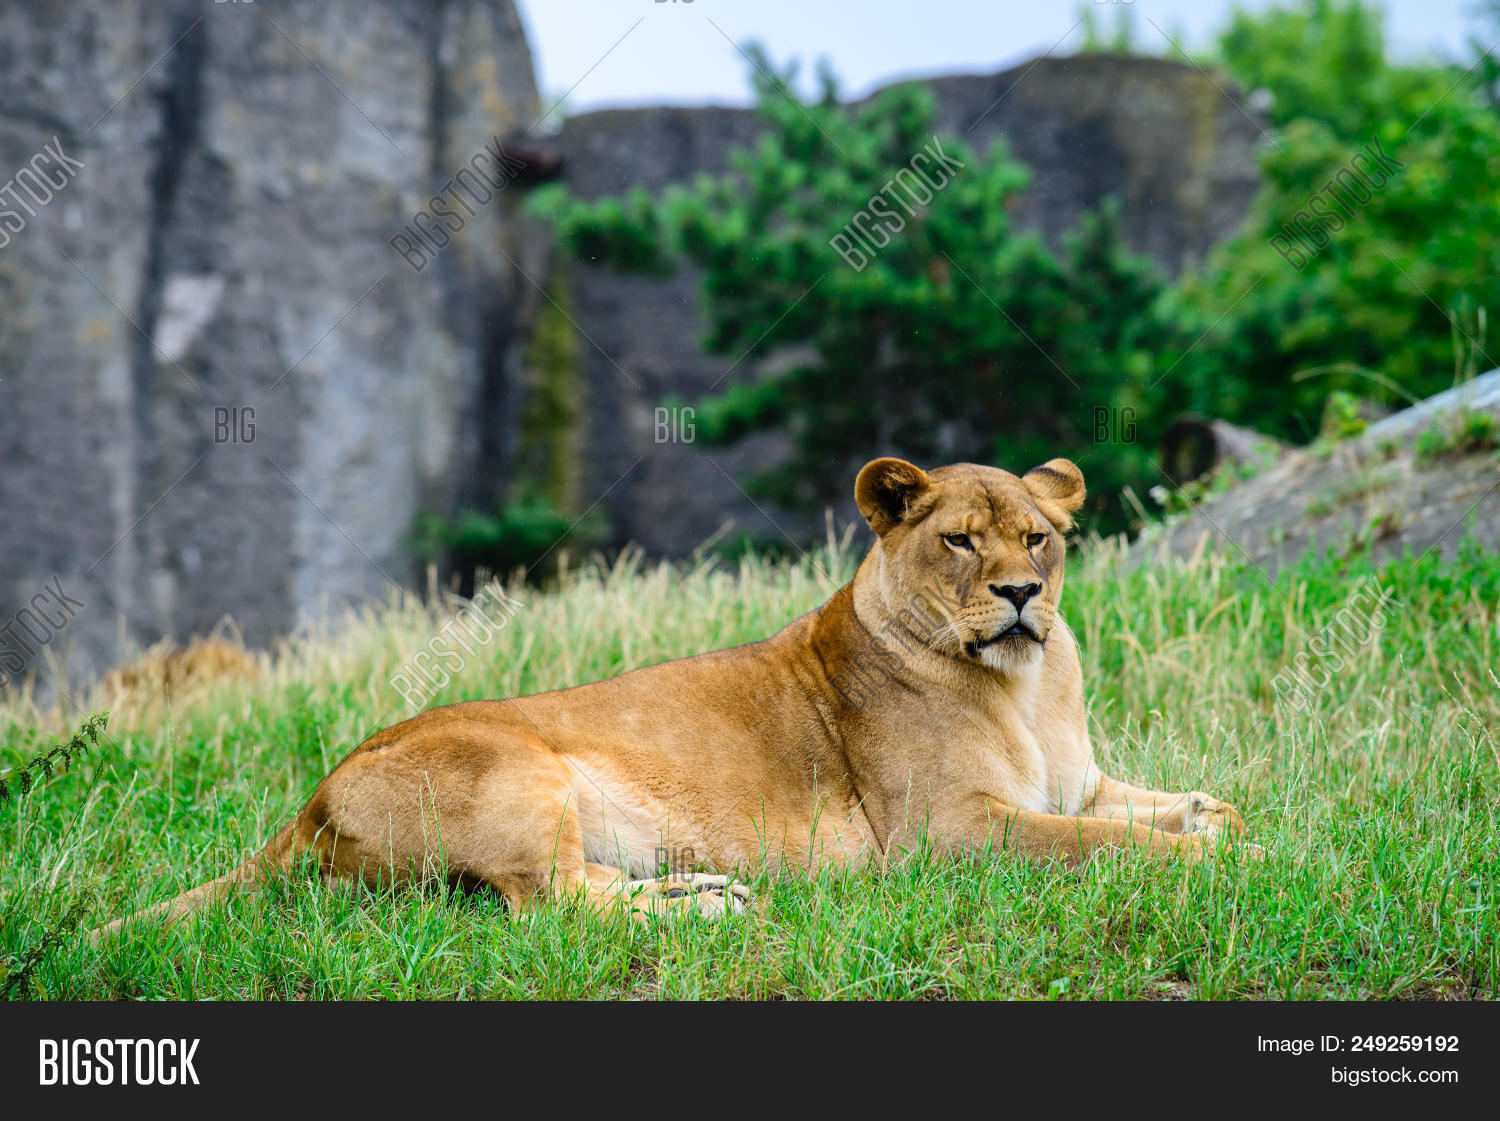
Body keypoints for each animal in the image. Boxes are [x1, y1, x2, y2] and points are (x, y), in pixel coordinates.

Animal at [96, 456, 1247, 938]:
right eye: (962, 540)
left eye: (1039, 536)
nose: (1019, 594)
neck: (1026, 682)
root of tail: (311, 797)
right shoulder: (948, 831)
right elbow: (1098, 844)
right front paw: (1199, 859)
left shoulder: (1078, 780)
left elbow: (1173, 805)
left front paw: (1216, 823)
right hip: (519, 774)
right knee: (552, 903)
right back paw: (713, 907)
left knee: (585, 889)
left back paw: (706, 892)